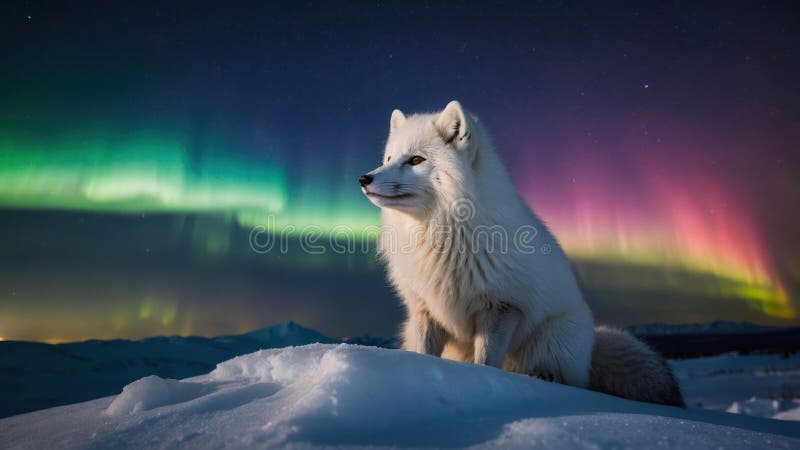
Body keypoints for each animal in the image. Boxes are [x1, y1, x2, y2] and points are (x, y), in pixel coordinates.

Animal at [359, 100, 684, 407]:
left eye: (416, 160)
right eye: (388, 159)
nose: (364, 179)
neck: (441, 235)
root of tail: (592, 343)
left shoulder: (502, 307)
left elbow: (486, 362)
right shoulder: (425, 310)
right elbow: (426, 355)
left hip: (554, 340)